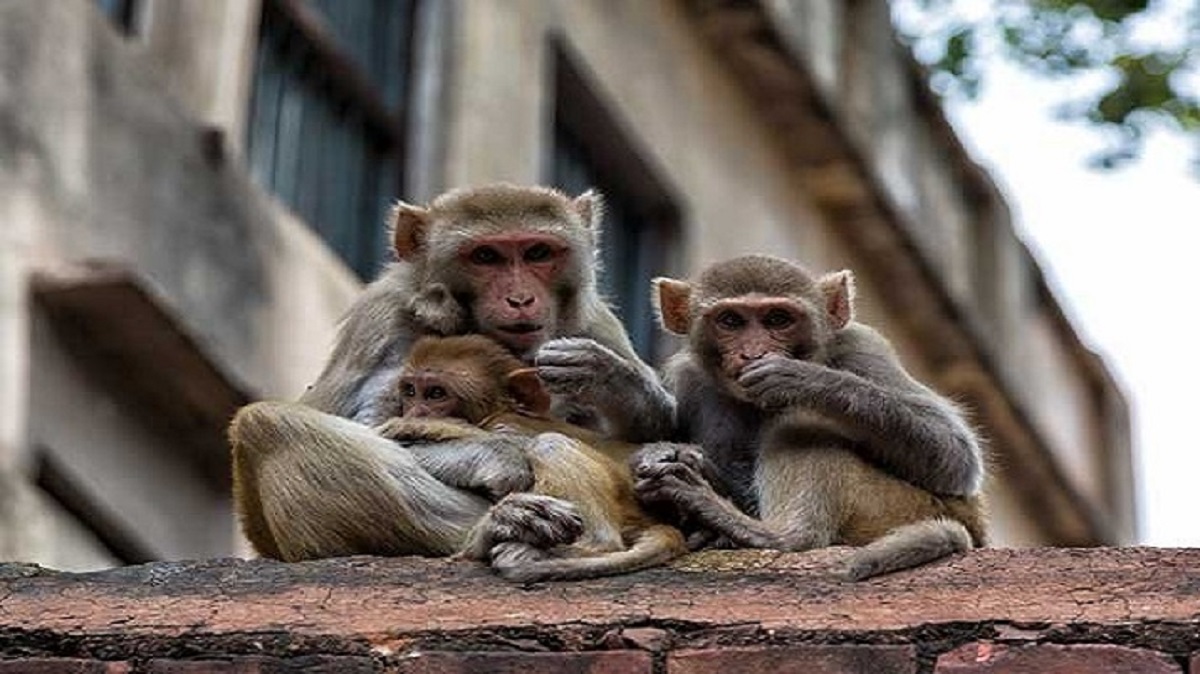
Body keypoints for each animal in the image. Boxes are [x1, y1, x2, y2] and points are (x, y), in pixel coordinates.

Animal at [229, 184, 676, 562]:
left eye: (537, 253)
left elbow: (654, 434)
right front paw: (497, 450)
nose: (520, 299)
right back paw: (496, 527)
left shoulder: (595, 323)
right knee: (267, 423)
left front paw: (604, 373)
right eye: (486, 257)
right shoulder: (384, 319)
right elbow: (374, 427)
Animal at [369, 334, 686, 583]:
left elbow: (509, 453)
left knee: (548, 444)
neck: (495, 413)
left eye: (436, 393)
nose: (413, 412)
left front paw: (411, 428)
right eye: (411, 391)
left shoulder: (508, 424)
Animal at [631, 254, 987, 580]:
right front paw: (673, 454)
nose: (752, 354)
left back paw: (770, 534)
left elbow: (956, 456)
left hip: (904, 505)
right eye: (730, 321)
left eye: (778, 319)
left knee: (796, 422)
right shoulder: (687, 378)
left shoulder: (863, 346)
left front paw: (803, 379)